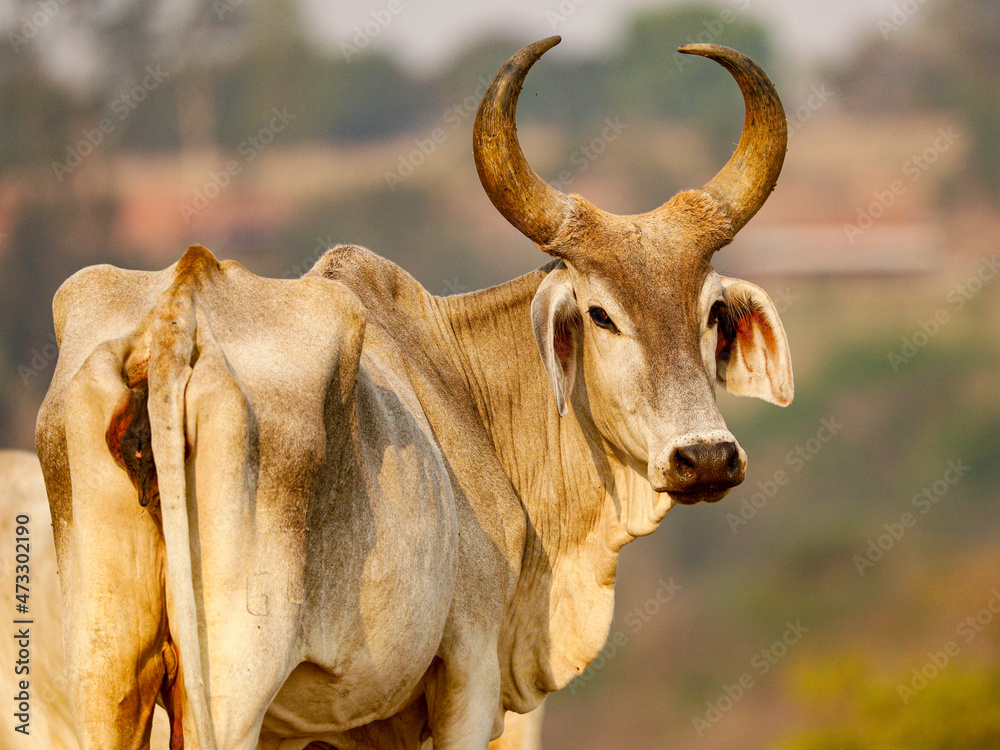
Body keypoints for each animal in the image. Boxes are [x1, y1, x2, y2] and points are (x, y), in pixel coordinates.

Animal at [35, 36, 791, 749]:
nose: (706, 458)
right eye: (601, 314)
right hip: (231, 687)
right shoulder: (469, 672)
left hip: (107, 680)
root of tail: (174, 324)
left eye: (712, 312)